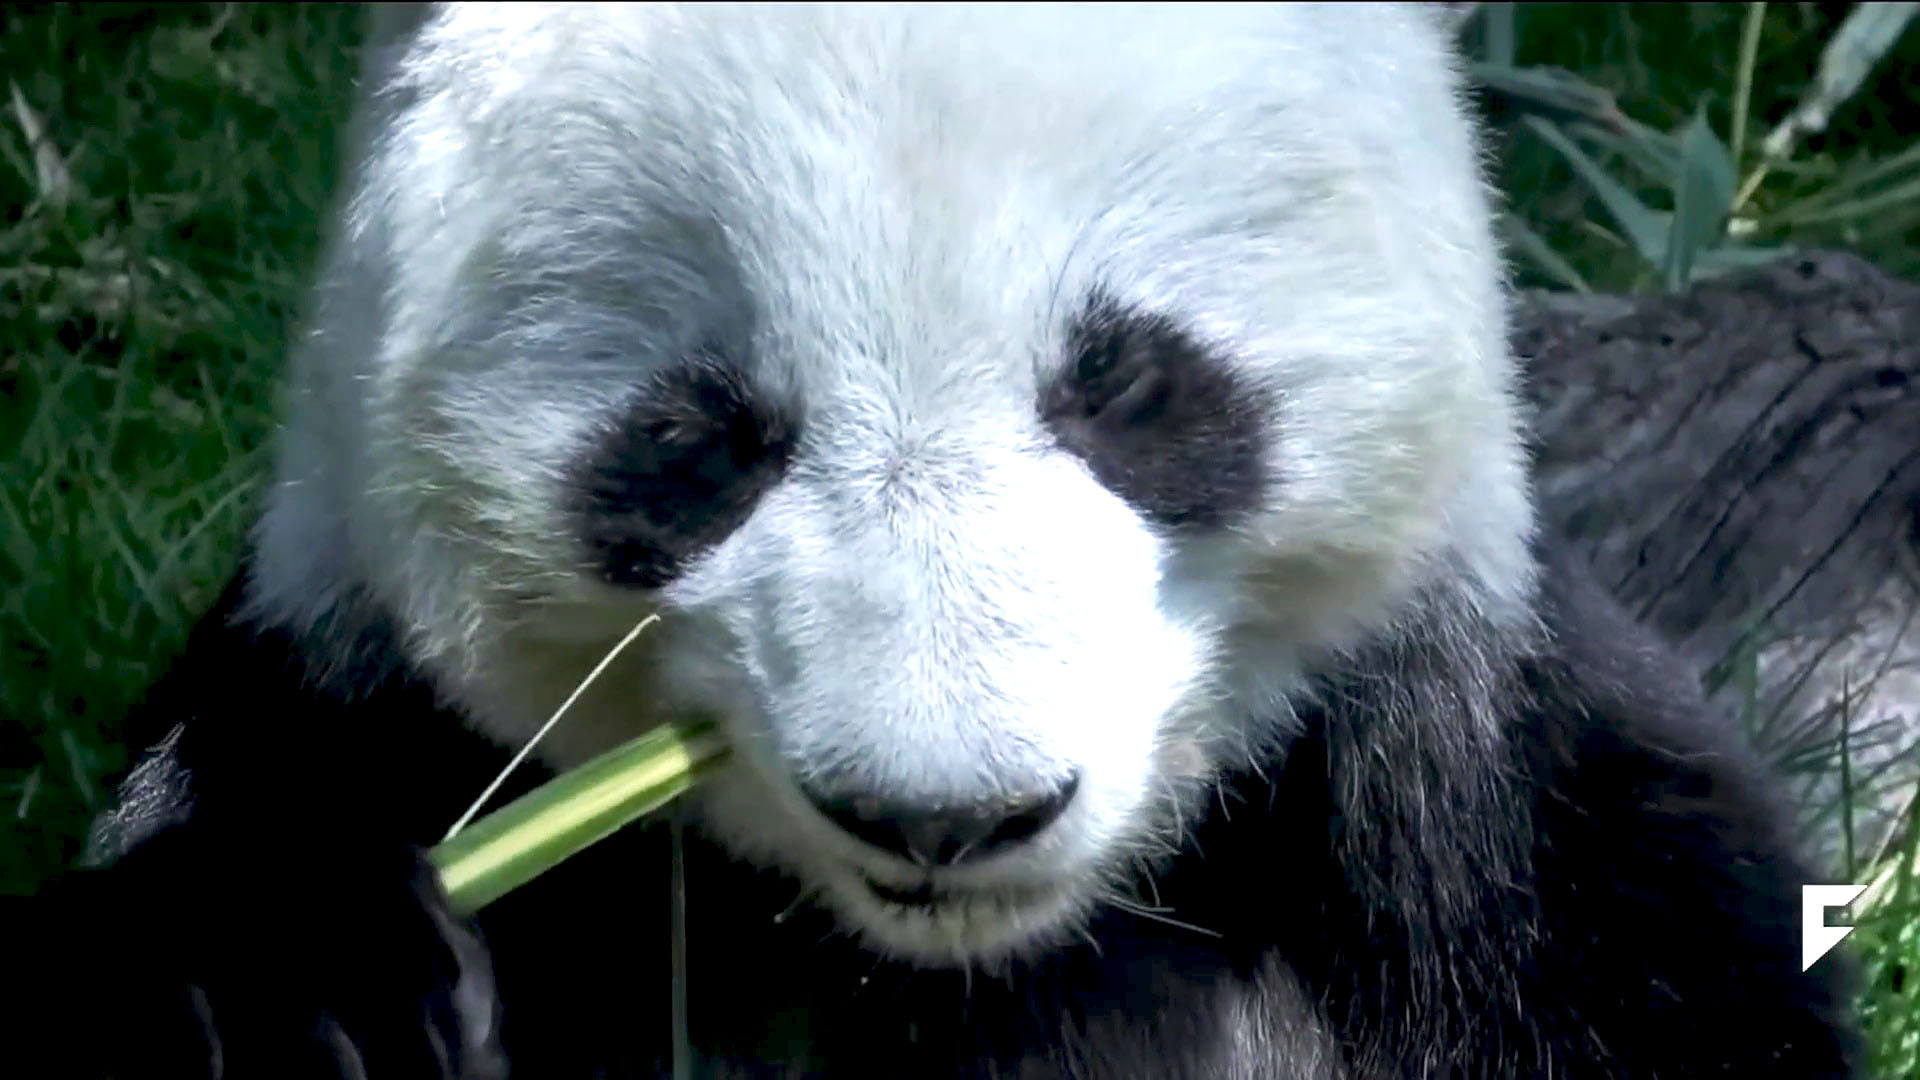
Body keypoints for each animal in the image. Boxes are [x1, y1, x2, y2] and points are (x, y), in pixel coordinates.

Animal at [34, 3, 1862, 1078]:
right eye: (702, 440)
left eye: (1122, 382)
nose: (946, 815)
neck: (962, 967)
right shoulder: (349, 694)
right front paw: (299, 985)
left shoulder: (1489, 830)